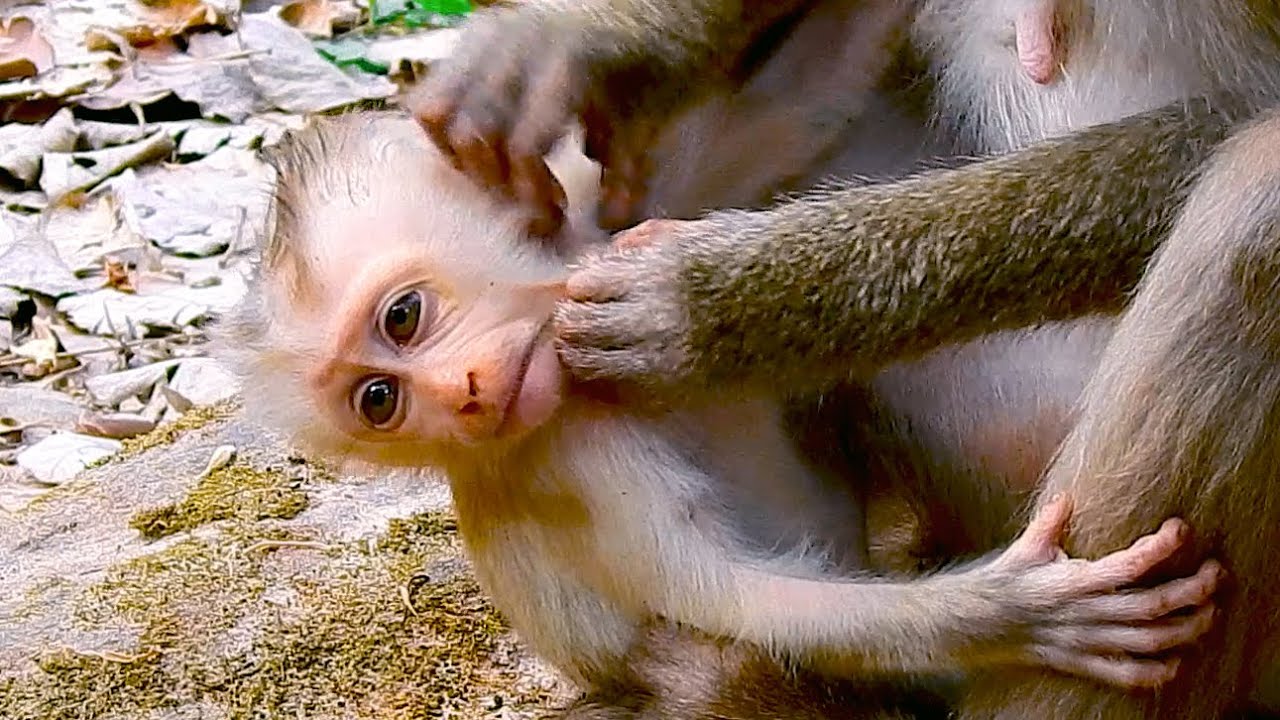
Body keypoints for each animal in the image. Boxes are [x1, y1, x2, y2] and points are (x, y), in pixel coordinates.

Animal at [215, 111, 1224, 717]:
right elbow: (736, 601)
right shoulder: (571, 449)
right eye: (380, 401)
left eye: (403, 318)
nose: (459, 397)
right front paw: (1013, 615)